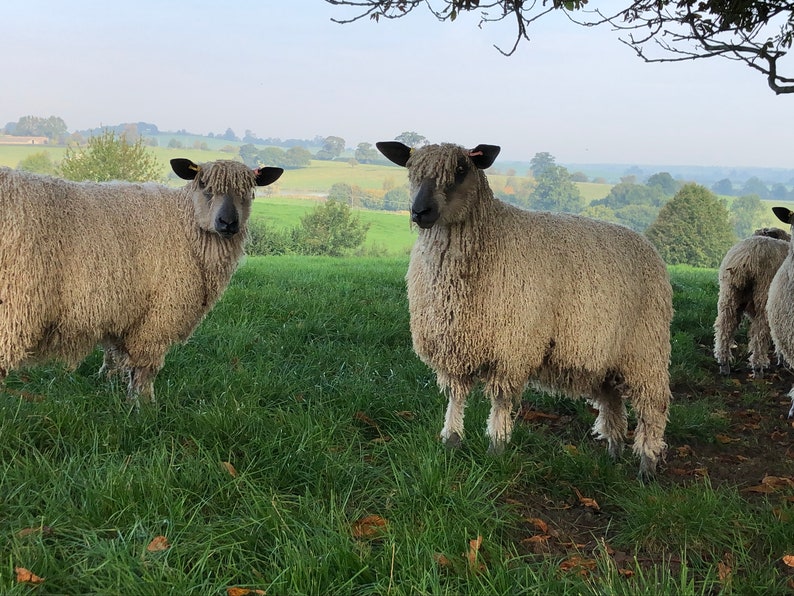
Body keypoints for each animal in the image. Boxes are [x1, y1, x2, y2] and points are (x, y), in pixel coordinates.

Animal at [0, 159, 283, 406]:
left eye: (249, 191)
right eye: (203, 185)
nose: (228, 223)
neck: (185, 222)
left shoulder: (120, 310)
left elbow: (114, 357)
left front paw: (109, 385)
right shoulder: (157, 314)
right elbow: (145, 368)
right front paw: (144, 406)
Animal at [376, 141, 673, 478]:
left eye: (461, 170)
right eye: (411, 169)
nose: (420, 212)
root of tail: (648, 246)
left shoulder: (512, 347)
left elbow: (501, 400)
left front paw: (496, 449)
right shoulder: (455, 346)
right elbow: (456, 395)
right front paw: (451, 442)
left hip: (646, 349)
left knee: (653, 407)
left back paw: (646, 466)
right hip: (605, 357)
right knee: (613, 404)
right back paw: (613, 454)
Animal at [713, 231, 789, 377]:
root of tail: (746, 257)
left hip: (729, 296)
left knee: (724, 329)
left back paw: (724, 364)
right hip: (763, 295)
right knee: (760, 333)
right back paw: (758, 367)